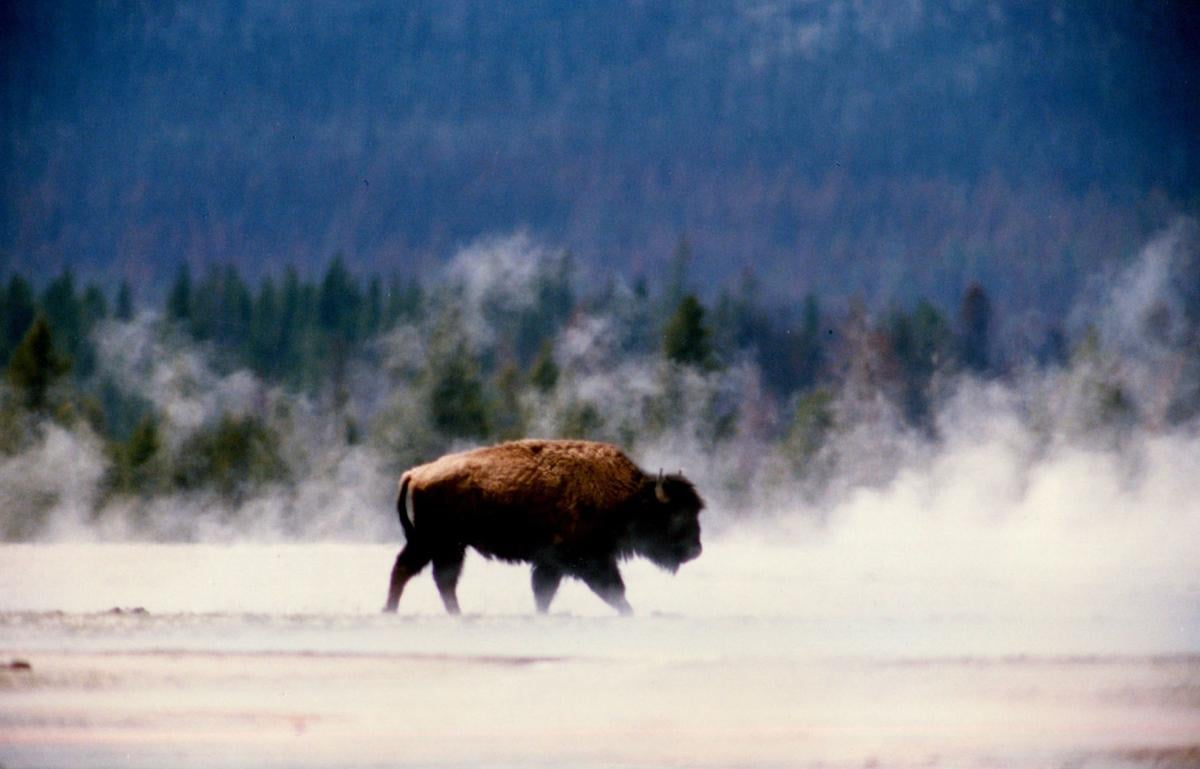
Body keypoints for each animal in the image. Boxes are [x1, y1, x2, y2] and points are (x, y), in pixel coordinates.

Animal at [383, 439, 704, 615]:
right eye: (676, 515)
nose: (696, 550)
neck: (628, 497)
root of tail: (417, 473)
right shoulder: (589, 560)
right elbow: (613, 589)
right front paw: (629, 612)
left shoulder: (552, 563)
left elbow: (543, 592)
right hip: (436, 541)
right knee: (409, 569)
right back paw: (392, 610)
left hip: (448, 546)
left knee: (440, 578)